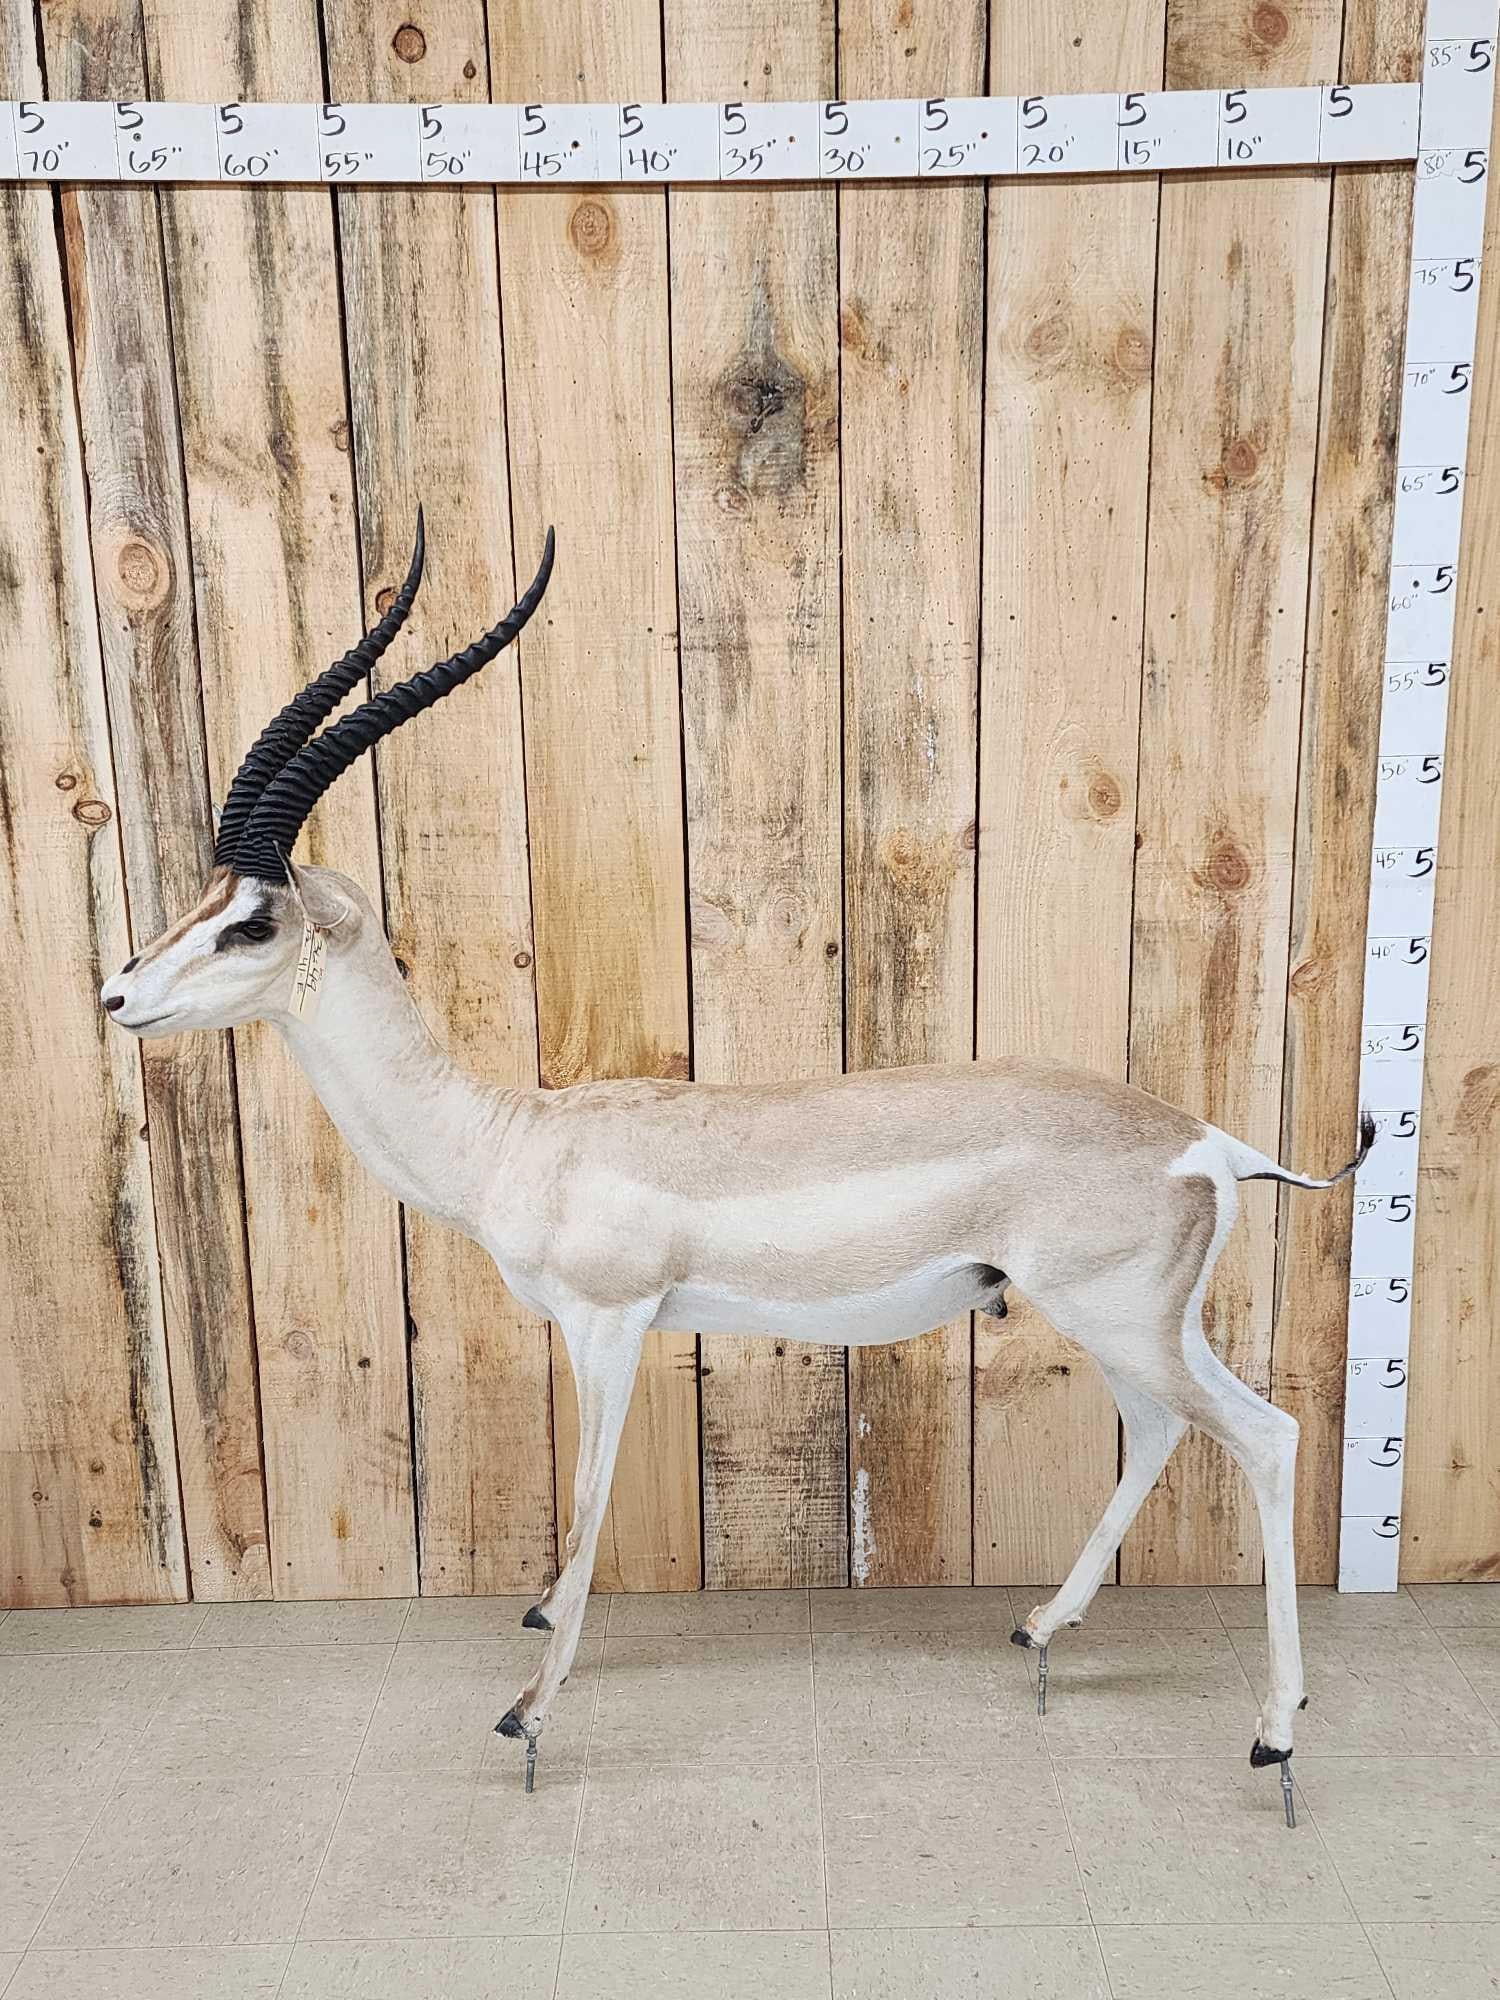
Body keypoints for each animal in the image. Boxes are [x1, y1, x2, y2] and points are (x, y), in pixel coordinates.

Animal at [101, 515, 1371, 1827]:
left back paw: (1274, 1734)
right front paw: (541, 1625)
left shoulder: (608, 1322)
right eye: (201, 896)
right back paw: (1040, 1629)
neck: (515, 1139)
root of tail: (1208, 1141)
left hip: (1119, 1320)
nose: (117, 995)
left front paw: (529, 1708)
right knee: (1167, 1429)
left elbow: (591, 1493)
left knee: (1265, 1435)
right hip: (1131, 1327)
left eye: (252, 921)